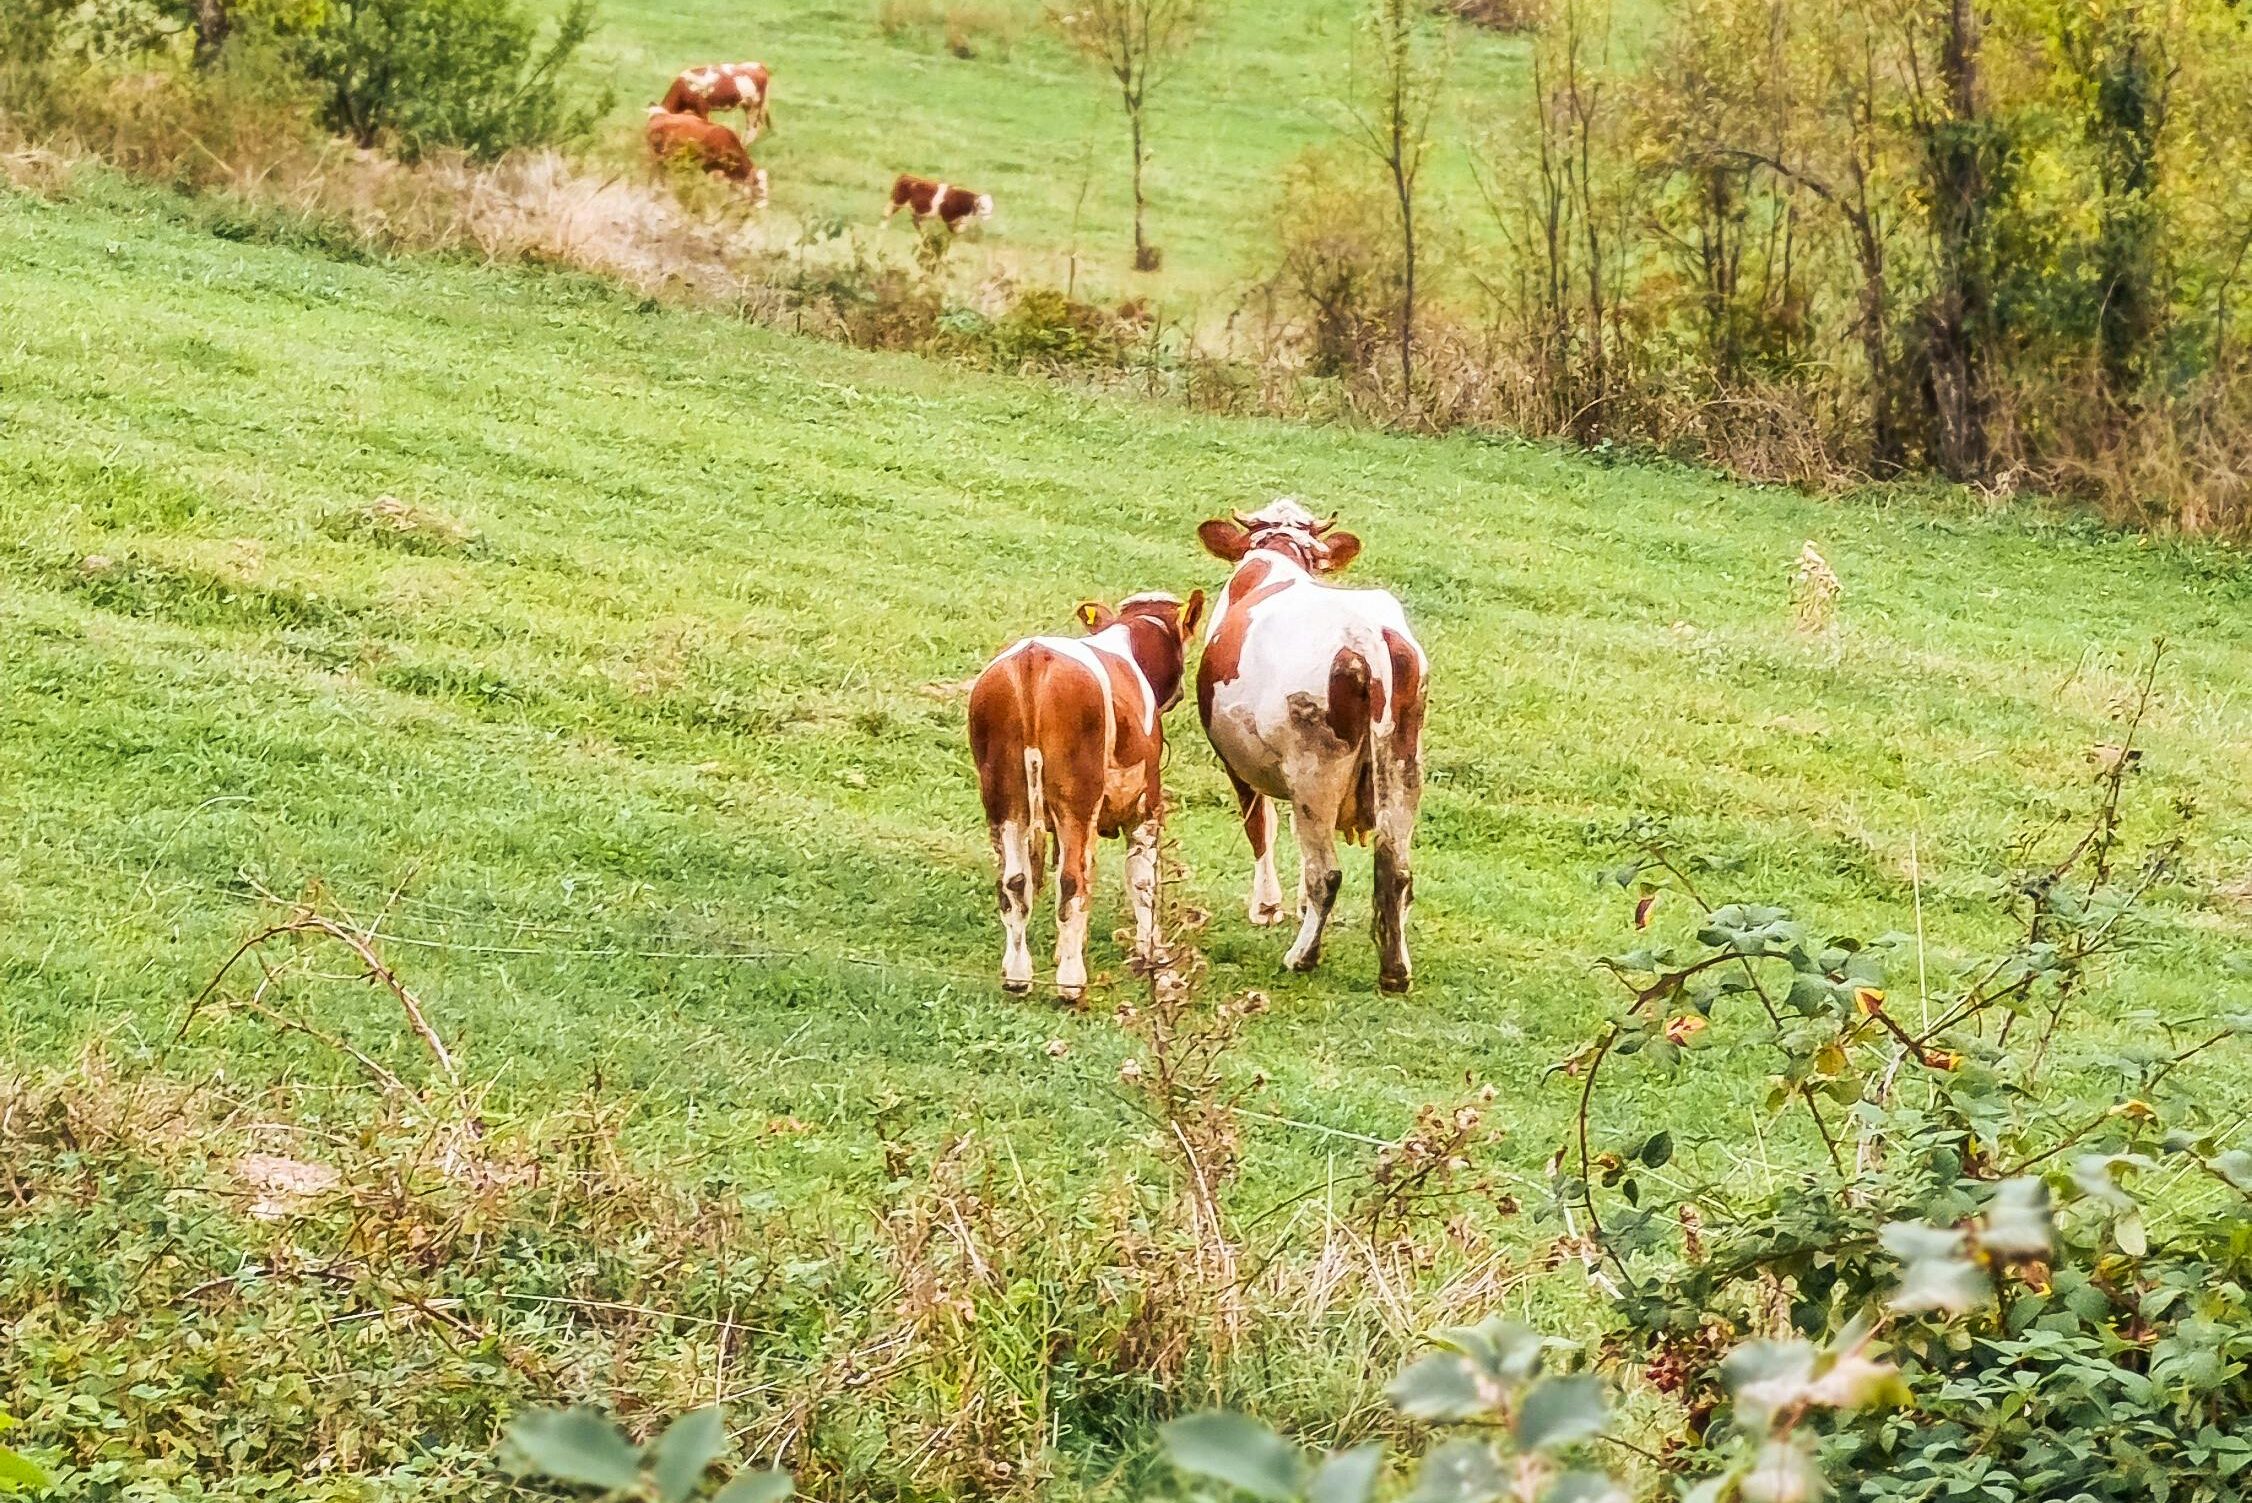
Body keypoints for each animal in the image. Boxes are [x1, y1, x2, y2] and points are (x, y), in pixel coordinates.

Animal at [967, 591, 1205, 1002]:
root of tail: (1033, 658)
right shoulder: (1146, 806)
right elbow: (1142, 879)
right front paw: (1150, 954)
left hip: (1003, 796)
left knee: (1013, 882)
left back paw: (1017, 976)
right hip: (1076, 797)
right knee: (1071, 879)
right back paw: (1071, 984)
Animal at [1195, 499, 1427, 993]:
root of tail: (1364, 633)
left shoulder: (1238, 764)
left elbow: (1259, 826)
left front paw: (1266, 907)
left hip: (1314, 766)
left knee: (1328, 872)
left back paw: (1302, 956)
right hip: (1404, 758)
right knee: (1396, 866)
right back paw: (1395, 970)